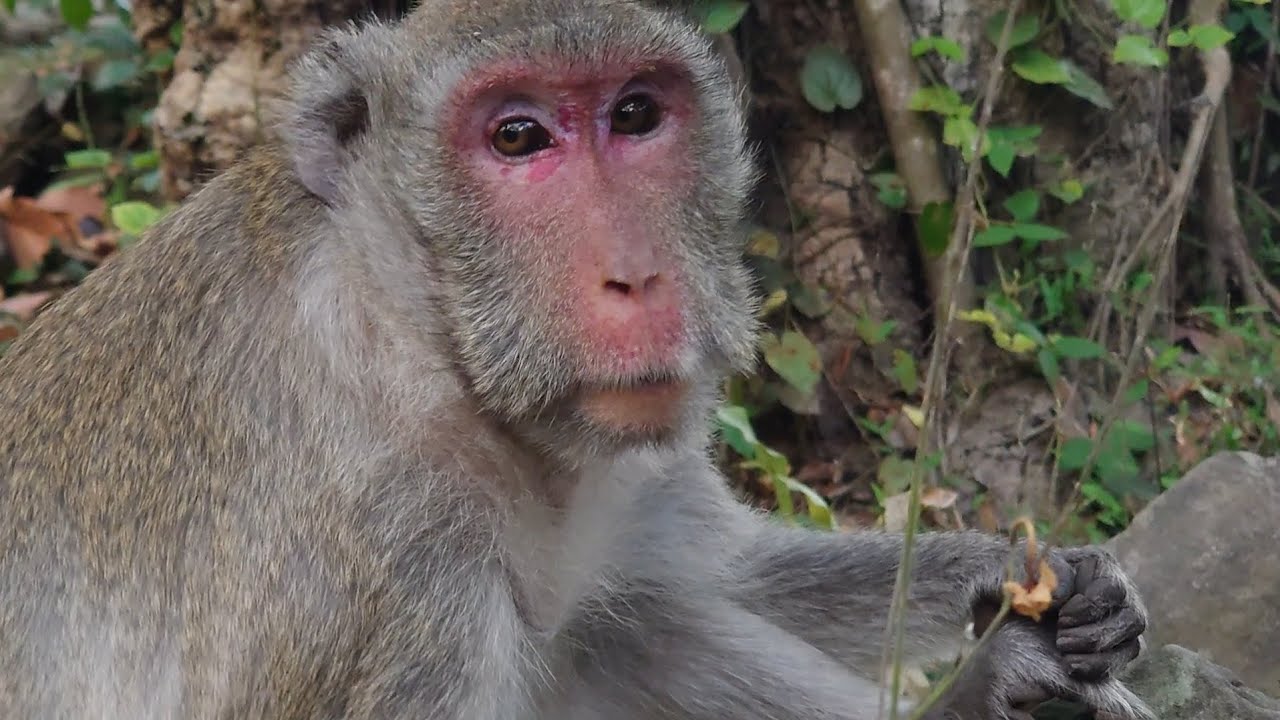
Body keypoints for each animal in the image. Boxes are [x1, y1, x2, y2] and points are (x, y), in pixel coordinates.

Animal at [0, 1, 1153, 718]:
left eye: (635, 114)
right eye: (515, 138)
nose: (634, 278)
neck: (418, 331)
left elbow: (723, 568)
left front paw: (1035, 580)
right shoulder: (380, 567)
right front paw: (988, 688)